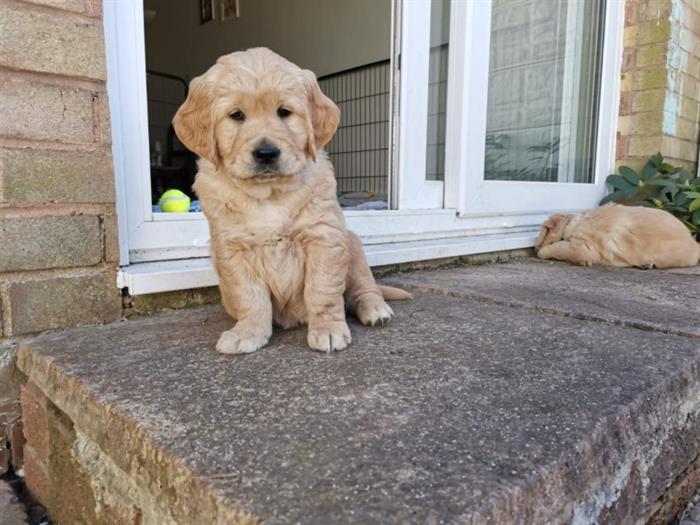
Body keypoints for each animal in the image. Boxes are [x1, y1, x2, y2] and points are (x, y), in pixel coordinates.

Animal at [173, 48, 410, 352]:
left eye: (284, 112)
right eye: (236, 115)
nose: (266, 153)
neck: (269, 194)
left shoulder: (324, 238)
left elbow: (322, 290)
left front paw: (328, 329)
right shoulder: (232, 249)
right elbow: (250, 295)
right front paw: (248, 332)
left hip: (353, 247)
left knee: (363, 288)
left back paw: (375, 310)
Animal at [536, 203, 700, 268]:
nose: (535, 248)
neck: (576, 223)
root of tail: (694, 243)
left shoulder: (584, 248)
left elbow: (560, 247)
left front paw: (542, 252)